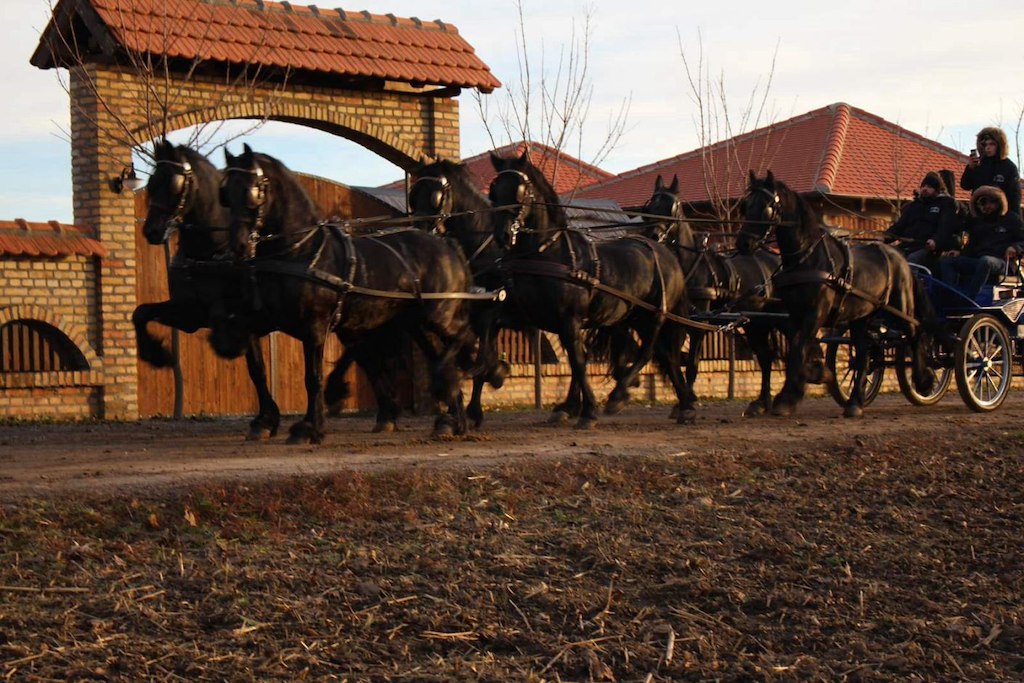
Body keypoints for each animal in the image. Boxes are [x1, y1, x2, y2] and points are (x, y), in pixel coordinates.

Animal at [134, 140, 284, 438]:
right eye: (152, 182)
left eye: (173, 184)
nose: (151, 231)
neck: (211, 252)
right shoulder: (188, 314)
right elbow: (140, 313)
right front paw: (156, 354)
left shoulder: (243, 320)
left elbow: (256, 368)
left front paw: (265, 419)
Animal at [220, 144, 475, 444]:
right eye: (225, 193)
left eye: (251, 190)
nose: (237, 245)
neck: (299, 250)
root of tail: (446, 244)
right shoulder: (258, 323)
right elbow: (257, 370)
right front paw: (265, 422)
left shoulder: (314, 327)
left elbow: (313, 377)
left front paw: (310, 427)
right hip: (418, 324)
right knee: (440, 356)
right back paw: (453, 419)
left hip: (438, 315)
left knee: (464, 337)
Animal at [407, 159, 512, 428]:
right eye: (413, 196)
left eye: (435, 196)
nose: (419, 233)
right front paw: (454, 413)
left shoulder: (489, 311)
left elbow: (480, 360)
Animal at [487, 150, 696, 428]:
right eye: (494, 191)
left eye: (520, 190)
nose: (502, 234)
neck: (547, 252)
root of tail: (665, 253)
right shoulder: (527, 315)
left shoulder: (569, 319)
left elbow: (577, 361)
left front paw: (587, 411)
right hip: (636, 317)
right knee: (667, 356)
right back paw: (684, 406)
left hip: (654, 315)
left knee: (649, 351)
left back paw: (620, 395)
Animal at [737, 171, 937, 417]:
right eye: (746, 206)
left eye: (766, 206)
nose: (743, 243)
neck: (808, 257)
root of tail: (900, 257)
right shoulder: (794, 314)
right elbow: (797, 348)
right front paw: (815, 375)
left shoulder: (816, 313)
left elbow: (799, 347)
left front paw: (787, 398)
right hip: (862, 317)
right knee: (863, 353)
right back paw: (855, 402)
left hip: (901, 307)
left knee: (915, 332)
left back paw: (924, 380)